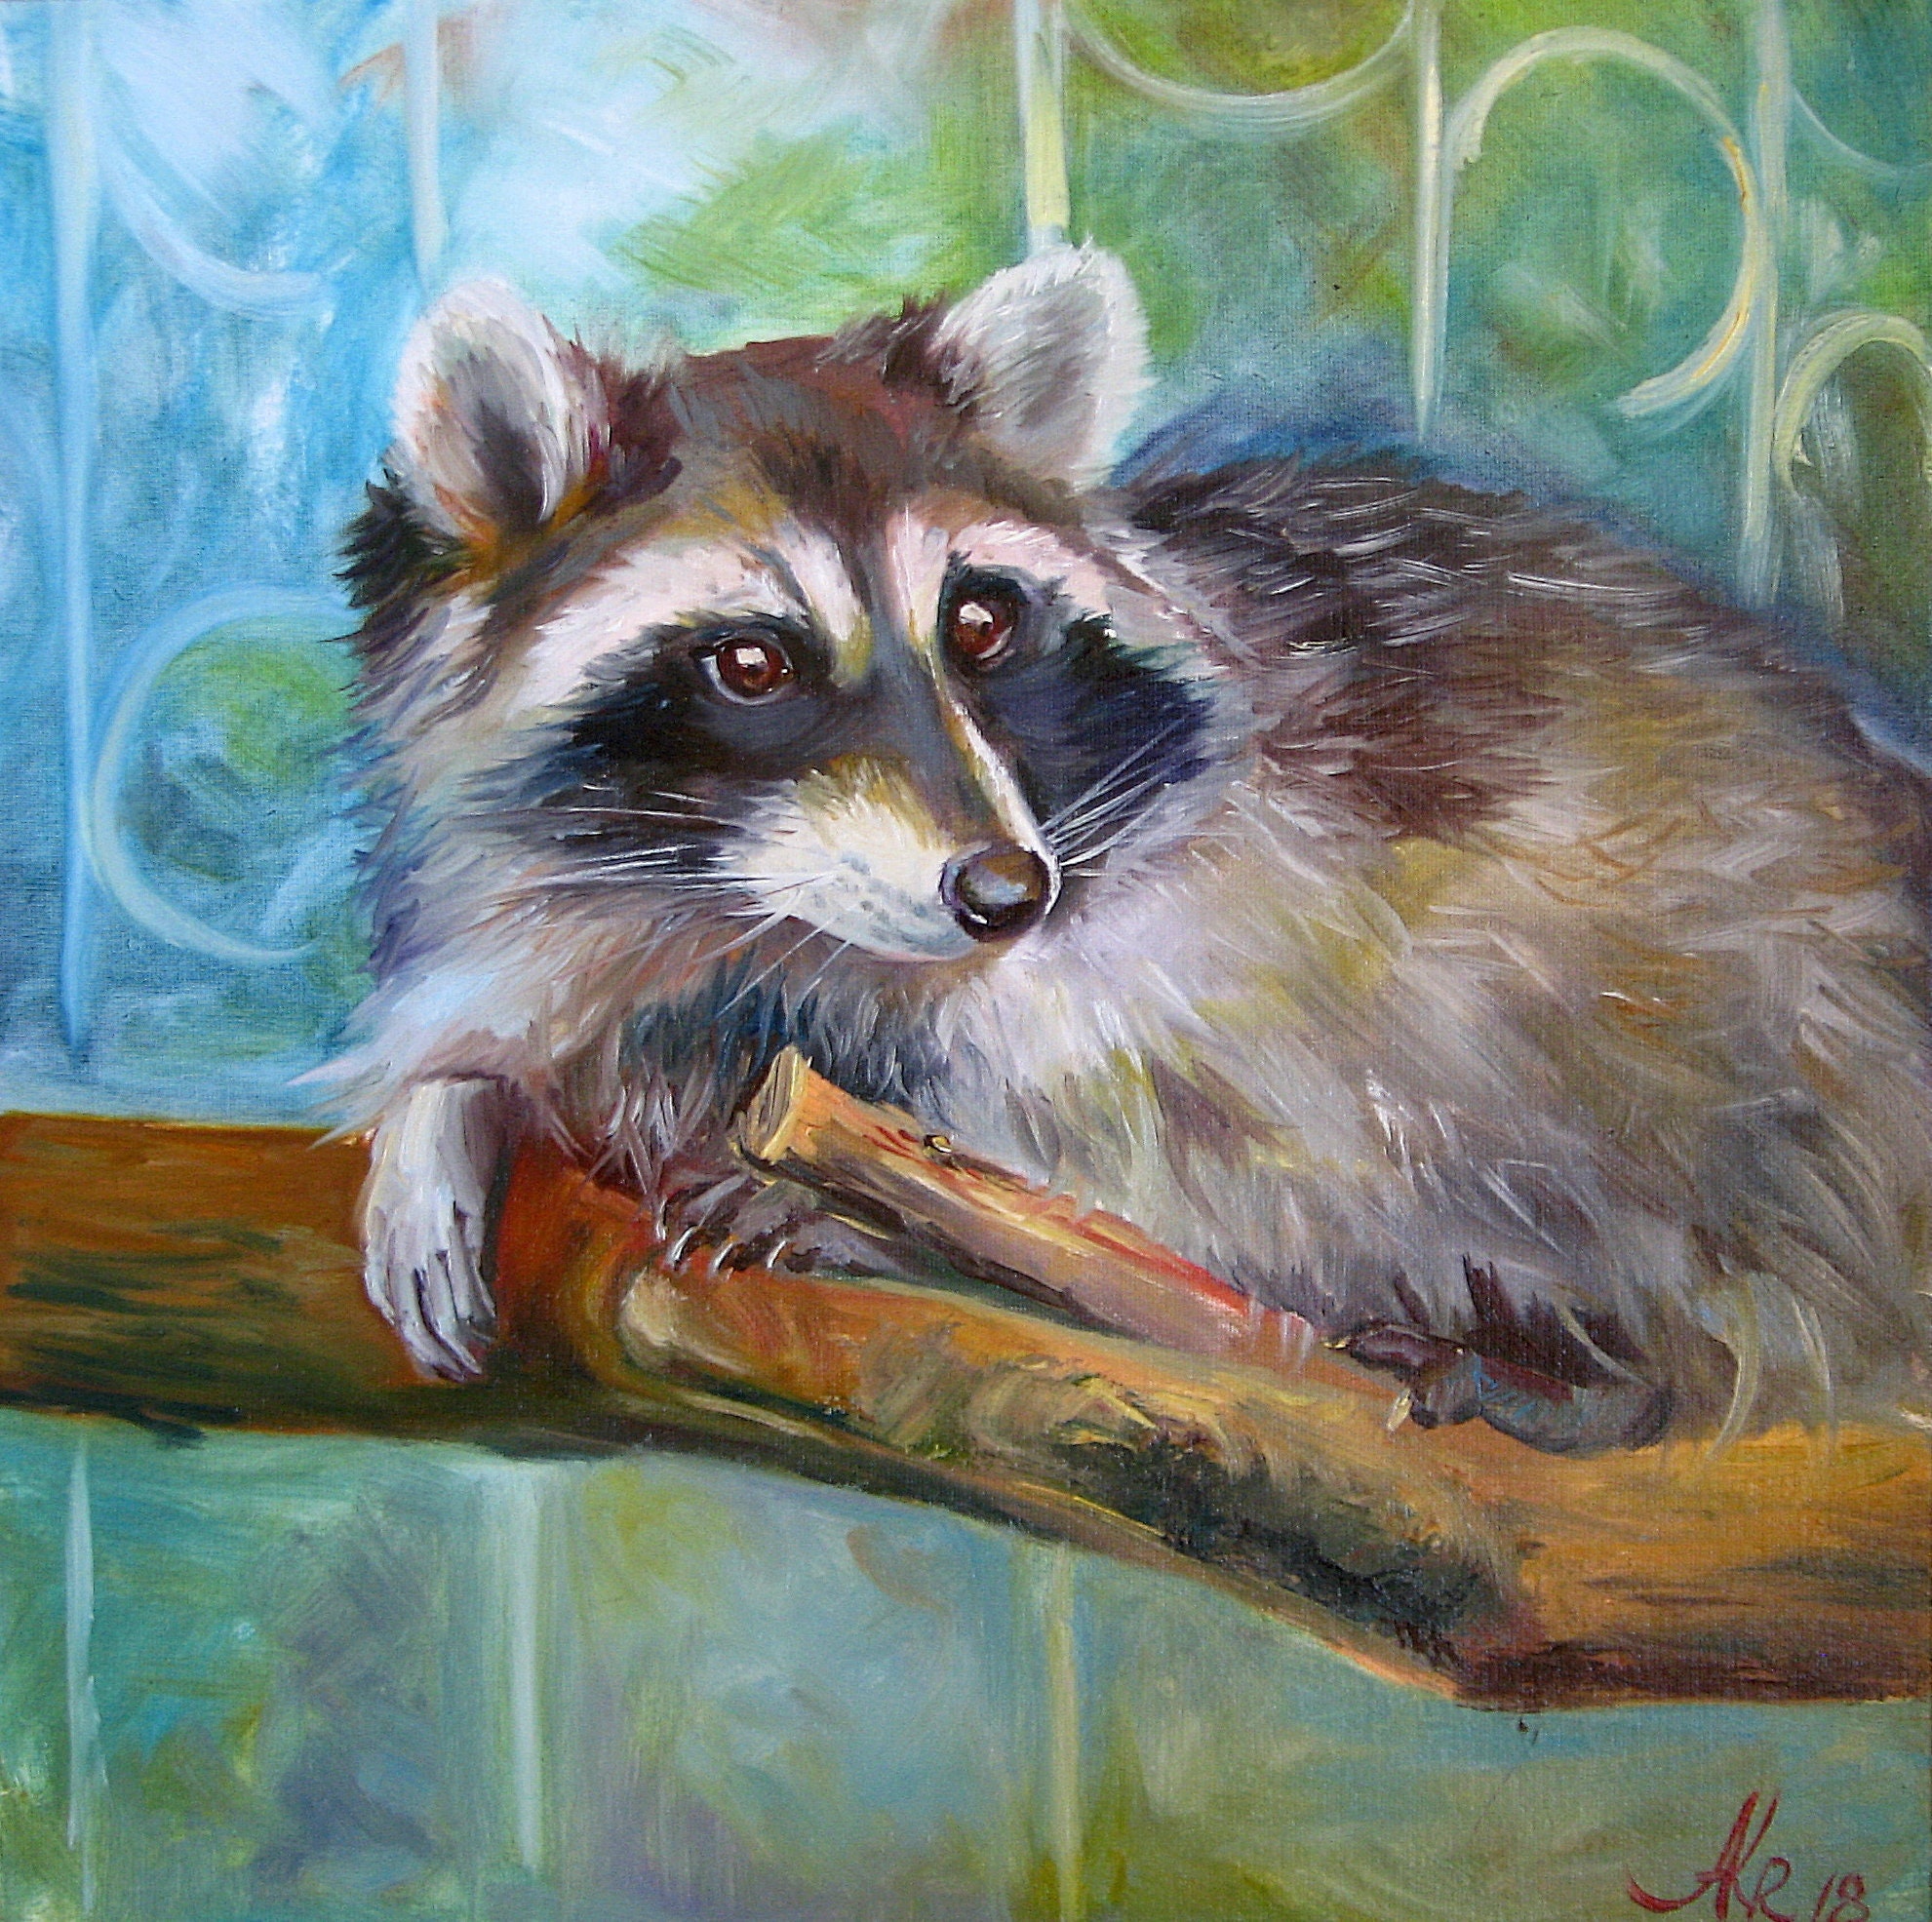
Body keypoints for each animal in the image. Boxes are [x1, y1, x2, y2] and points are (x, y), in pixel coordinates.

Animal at [324, 245, 1932, 1453]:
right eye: (751, 662)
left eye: (979, 622)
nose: (1005, 892)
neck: (751, 913)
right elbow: (529, 1027)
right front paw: (449, 1110)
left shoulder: (1273, 932)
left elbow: (1219, 1184)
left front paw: (917, 1211)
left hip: (1748, 994)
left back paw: (1613, 1372)